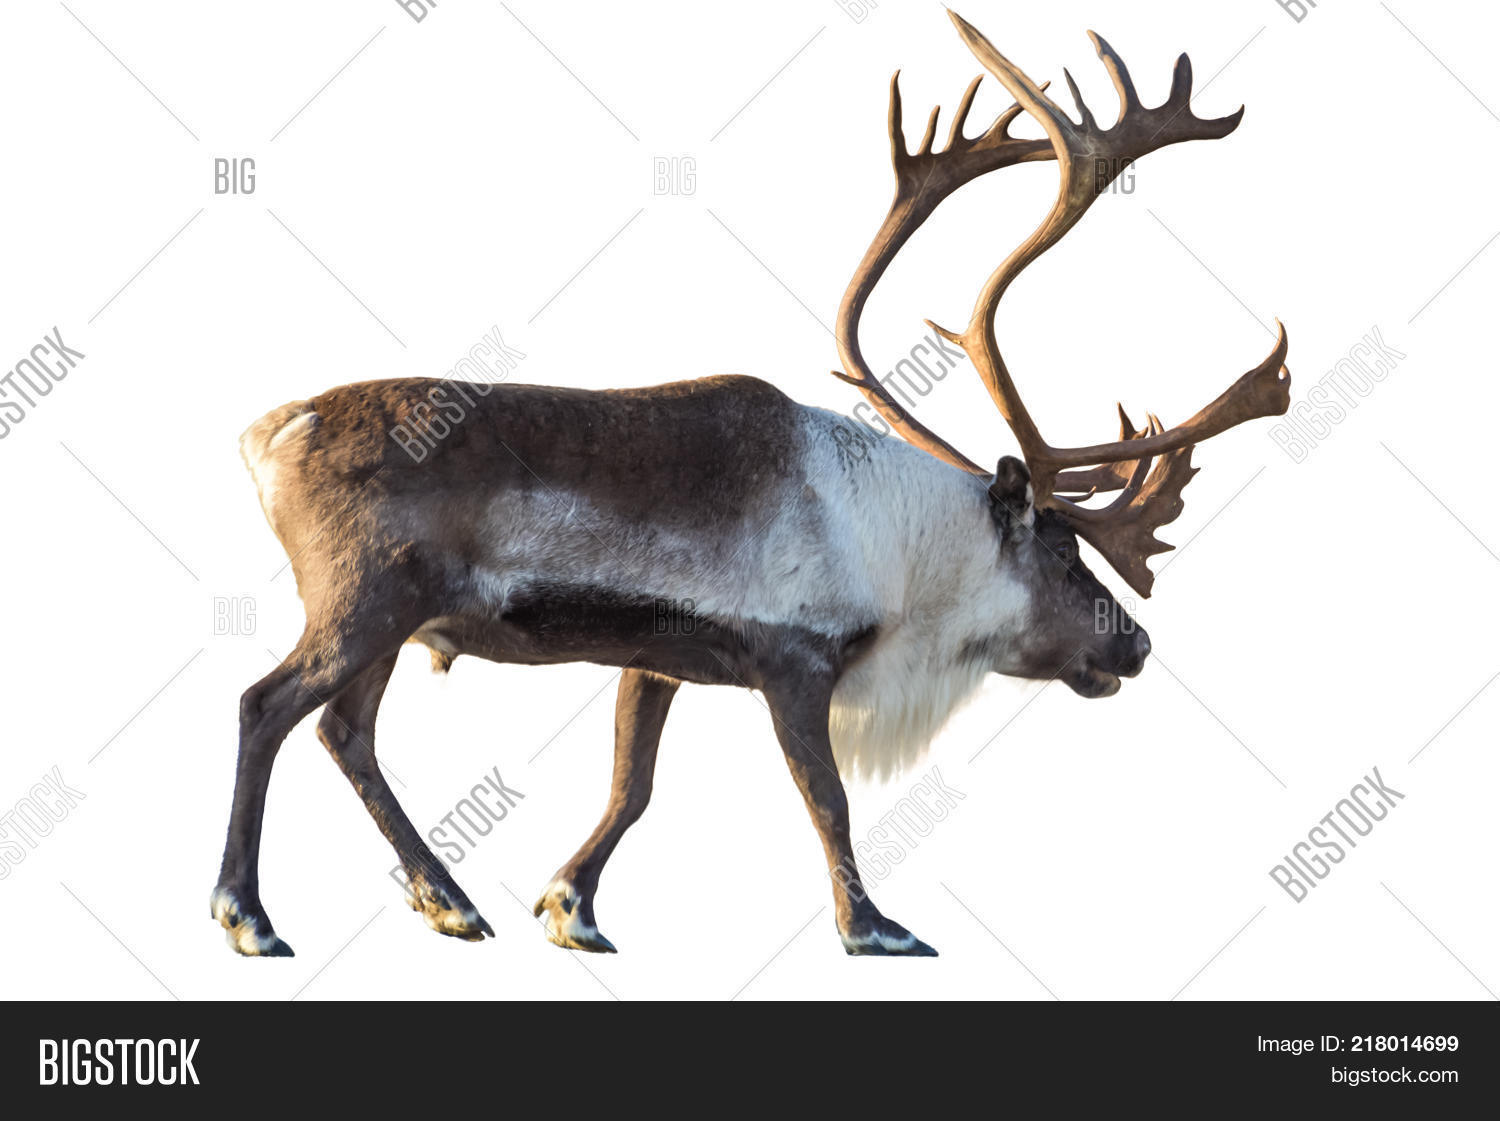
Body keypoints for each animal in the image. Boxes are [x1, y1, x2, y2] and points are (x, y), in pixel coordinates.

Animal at [213, 11, 1290, 959]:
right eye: (1064, 553)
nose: (1137, 642)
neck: (900, 555)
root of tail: (271, 431)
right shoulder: (796, 659)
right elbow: (827, 797)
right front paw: (875, 926)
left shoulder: (655, 657)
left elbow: (632, 786)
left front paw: (573, 907)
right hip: (364, 597)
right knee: (268, 704)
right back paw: (250, 916)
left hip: (393, 620)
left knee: (347, 732)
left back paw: (450, 901)